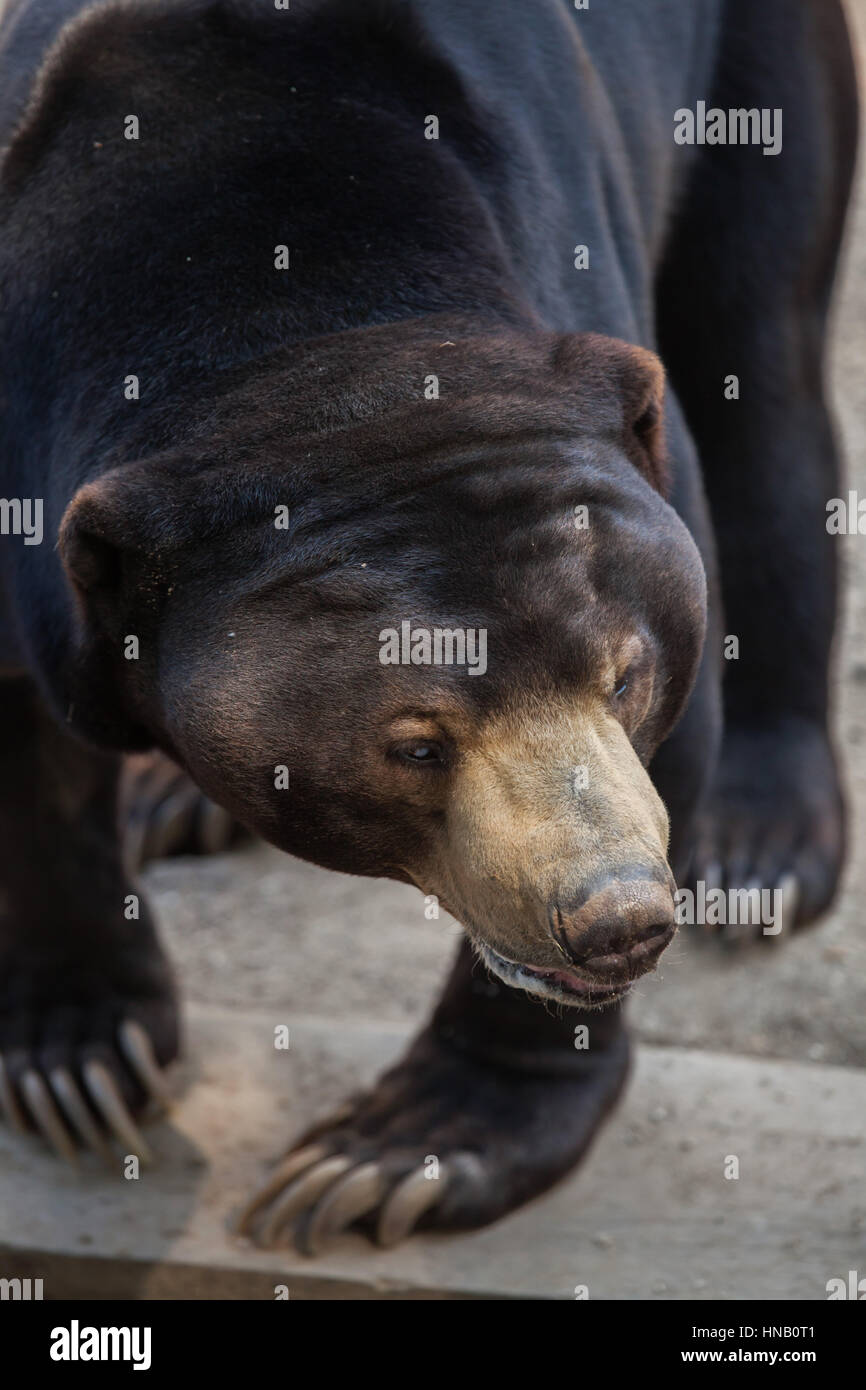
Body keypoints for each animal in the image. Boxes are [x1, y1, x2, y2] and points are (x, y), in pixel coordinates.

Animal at [0, 0, 856, 1251]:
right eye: (413, 743)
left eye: (623, 678)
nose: (617, 919)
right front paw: (80, 1066)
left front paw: (382, 1159)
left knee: (762, 368)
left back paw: (762, 848)